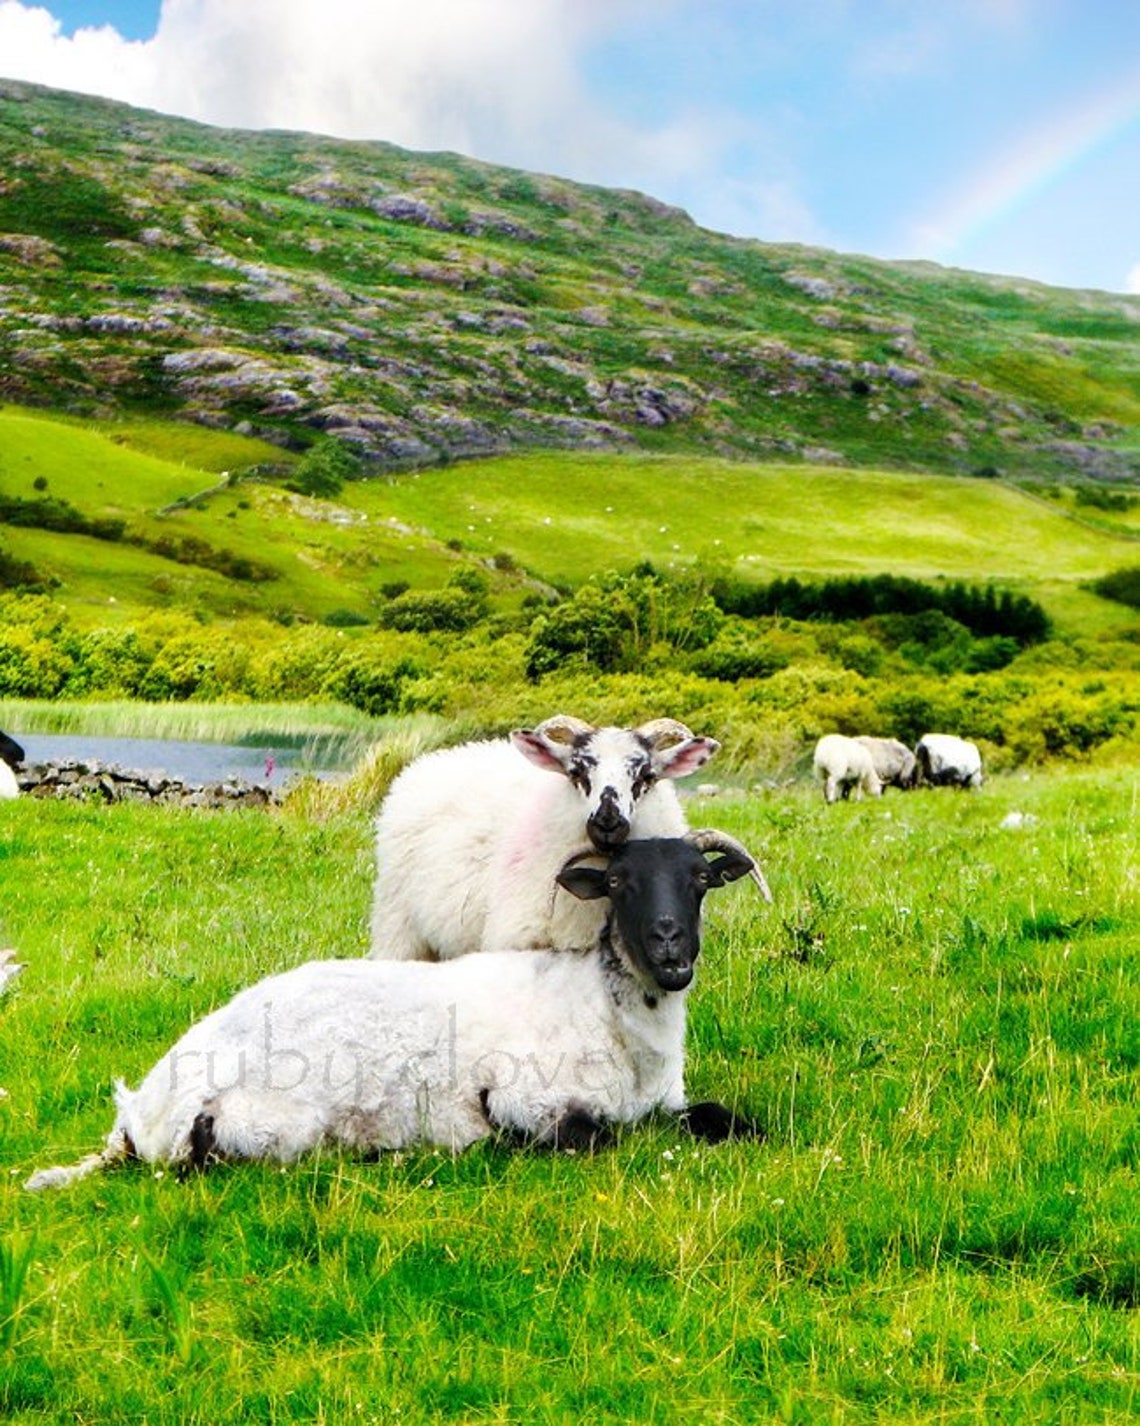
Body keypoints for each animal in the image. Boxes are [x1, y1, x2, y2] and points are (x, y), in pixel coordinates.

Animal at [26, 832, 764, 1190]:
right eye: (616, 883)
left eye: (701, 879)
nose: (670, 945)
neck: (606, 1008)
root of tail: (140, 1116)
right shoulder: (523, 1097)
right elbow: (599, 1137)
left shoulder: (666, 1101)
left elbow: (735, 1124)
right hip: (264, 1128)